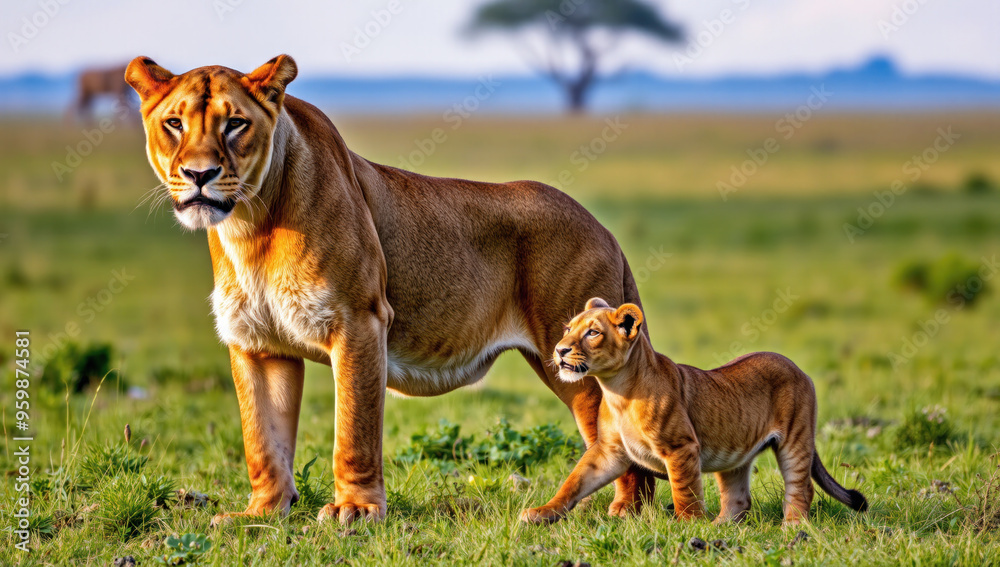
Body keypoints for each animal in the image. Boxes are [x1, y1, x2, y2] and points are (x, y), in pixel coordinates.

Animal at [124, 55, 657, 525]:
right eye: (174, 123)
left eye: (235, 124)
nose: (199, 175)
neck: (251, 227)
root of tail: (604, 231)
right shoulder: (258, 345)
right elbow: (263, 440)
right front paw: (261, 513)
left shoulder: (359, 321)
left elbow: (353, 429)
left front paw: (356, 510)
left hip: (582, 367)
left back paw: (625, 512)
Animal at [521, 298, 869, 525]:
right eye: (568, 329)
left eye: (593, 333)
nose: (560, 350)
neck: (616, 390)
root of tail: (797, 367)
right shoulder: (608, 451)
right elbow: (575, 481)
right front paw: (541, 513)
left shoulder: (680, 447)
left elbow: (683, 490)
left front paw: (688, 526)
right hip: (735, 454)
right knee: (739, 499)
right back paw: (721, 529)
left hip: (795, 439)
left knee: (802, 487)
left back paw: (791, 528)